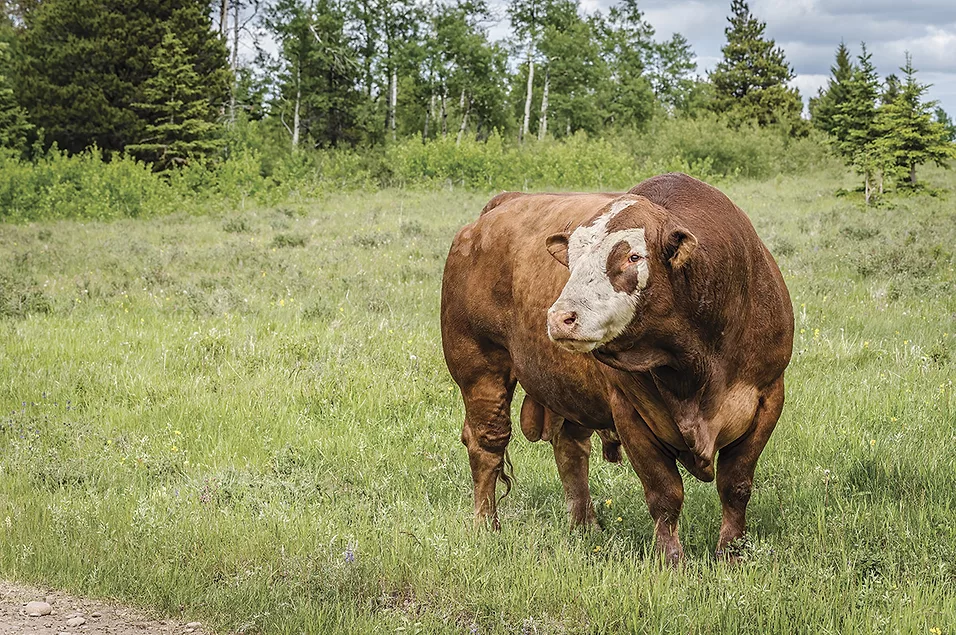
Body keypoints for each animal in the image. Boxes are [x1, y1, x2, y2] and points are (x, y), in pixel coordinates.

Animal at [440, 173, 794, 563]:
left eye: (633, 256)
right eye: (572, 259)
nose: (560, 317)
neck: (694, 363)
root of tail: (501, 204)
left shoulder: (768, 397)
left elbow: (736, 485)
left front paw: (731, 553)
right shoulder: (629, 411)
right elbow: (664, 494)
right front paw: (671, 561)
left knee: (571, 448)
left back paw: (584, 525)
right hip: (479, 370)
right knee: (487, 445)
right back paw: (486, 524)